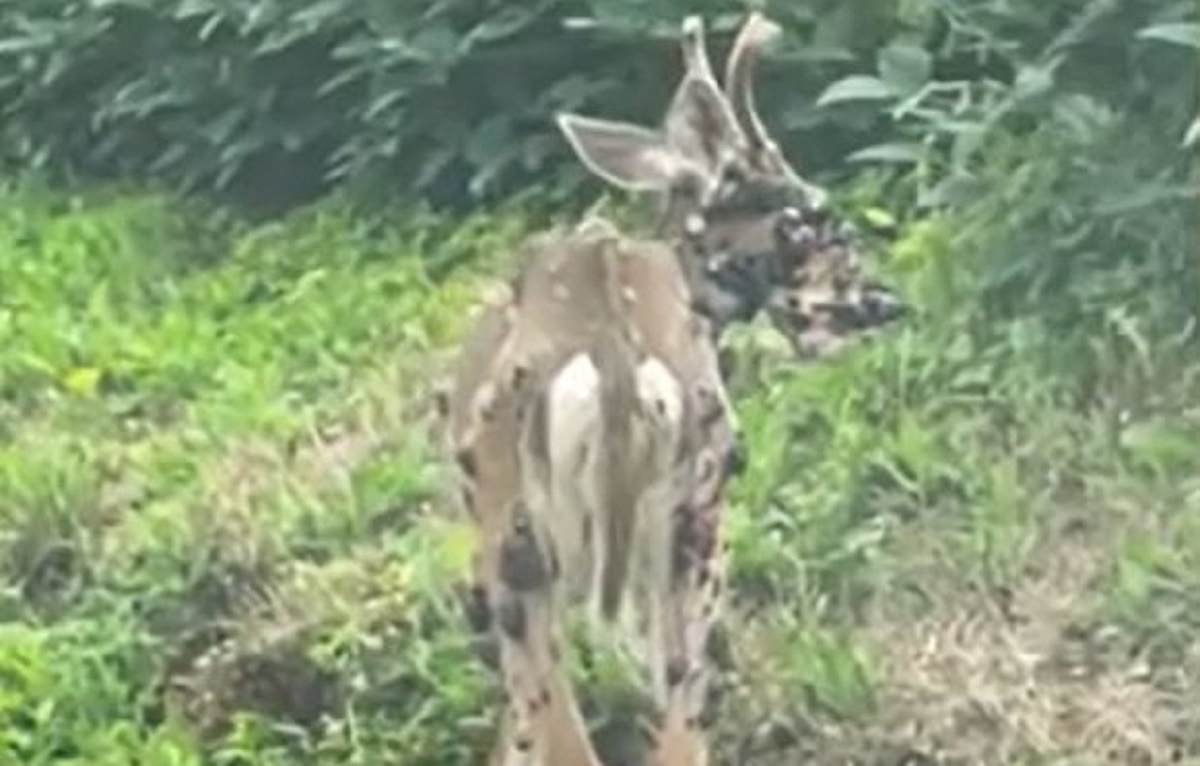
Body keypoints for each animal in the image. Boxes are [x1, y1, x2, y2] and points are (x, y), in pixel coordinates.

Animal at [438, 12, 909, 766]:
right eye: (815, 222)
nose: (882, 302)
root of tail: (611, 367)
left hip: (520, 539)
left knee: (564, 718)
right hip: (684, 517)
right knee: (676, 700)